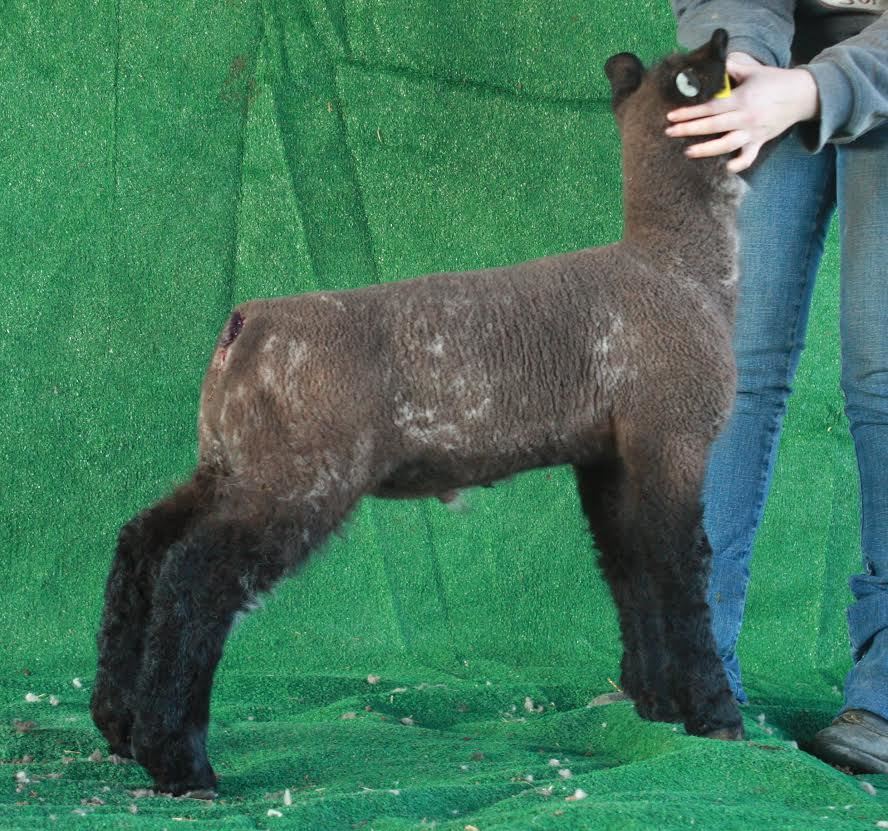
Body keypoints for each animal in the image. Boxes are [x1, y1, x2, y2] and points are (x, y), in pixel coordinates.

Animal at [91, 29, 745, 797]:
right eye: (716, 73)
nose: (734, 42)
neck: (679, 266)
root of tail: (243, 326)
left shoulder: (608, 453)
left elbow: (629, 568)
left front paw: (653, 705)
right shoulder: (673, 433)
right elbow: (682, 568)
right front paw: (716, 717)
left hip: (230, 462)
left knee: (142, 544)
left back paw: (118, 725)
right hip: (301, 473)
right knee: (196, 578)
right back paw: (180, 760)